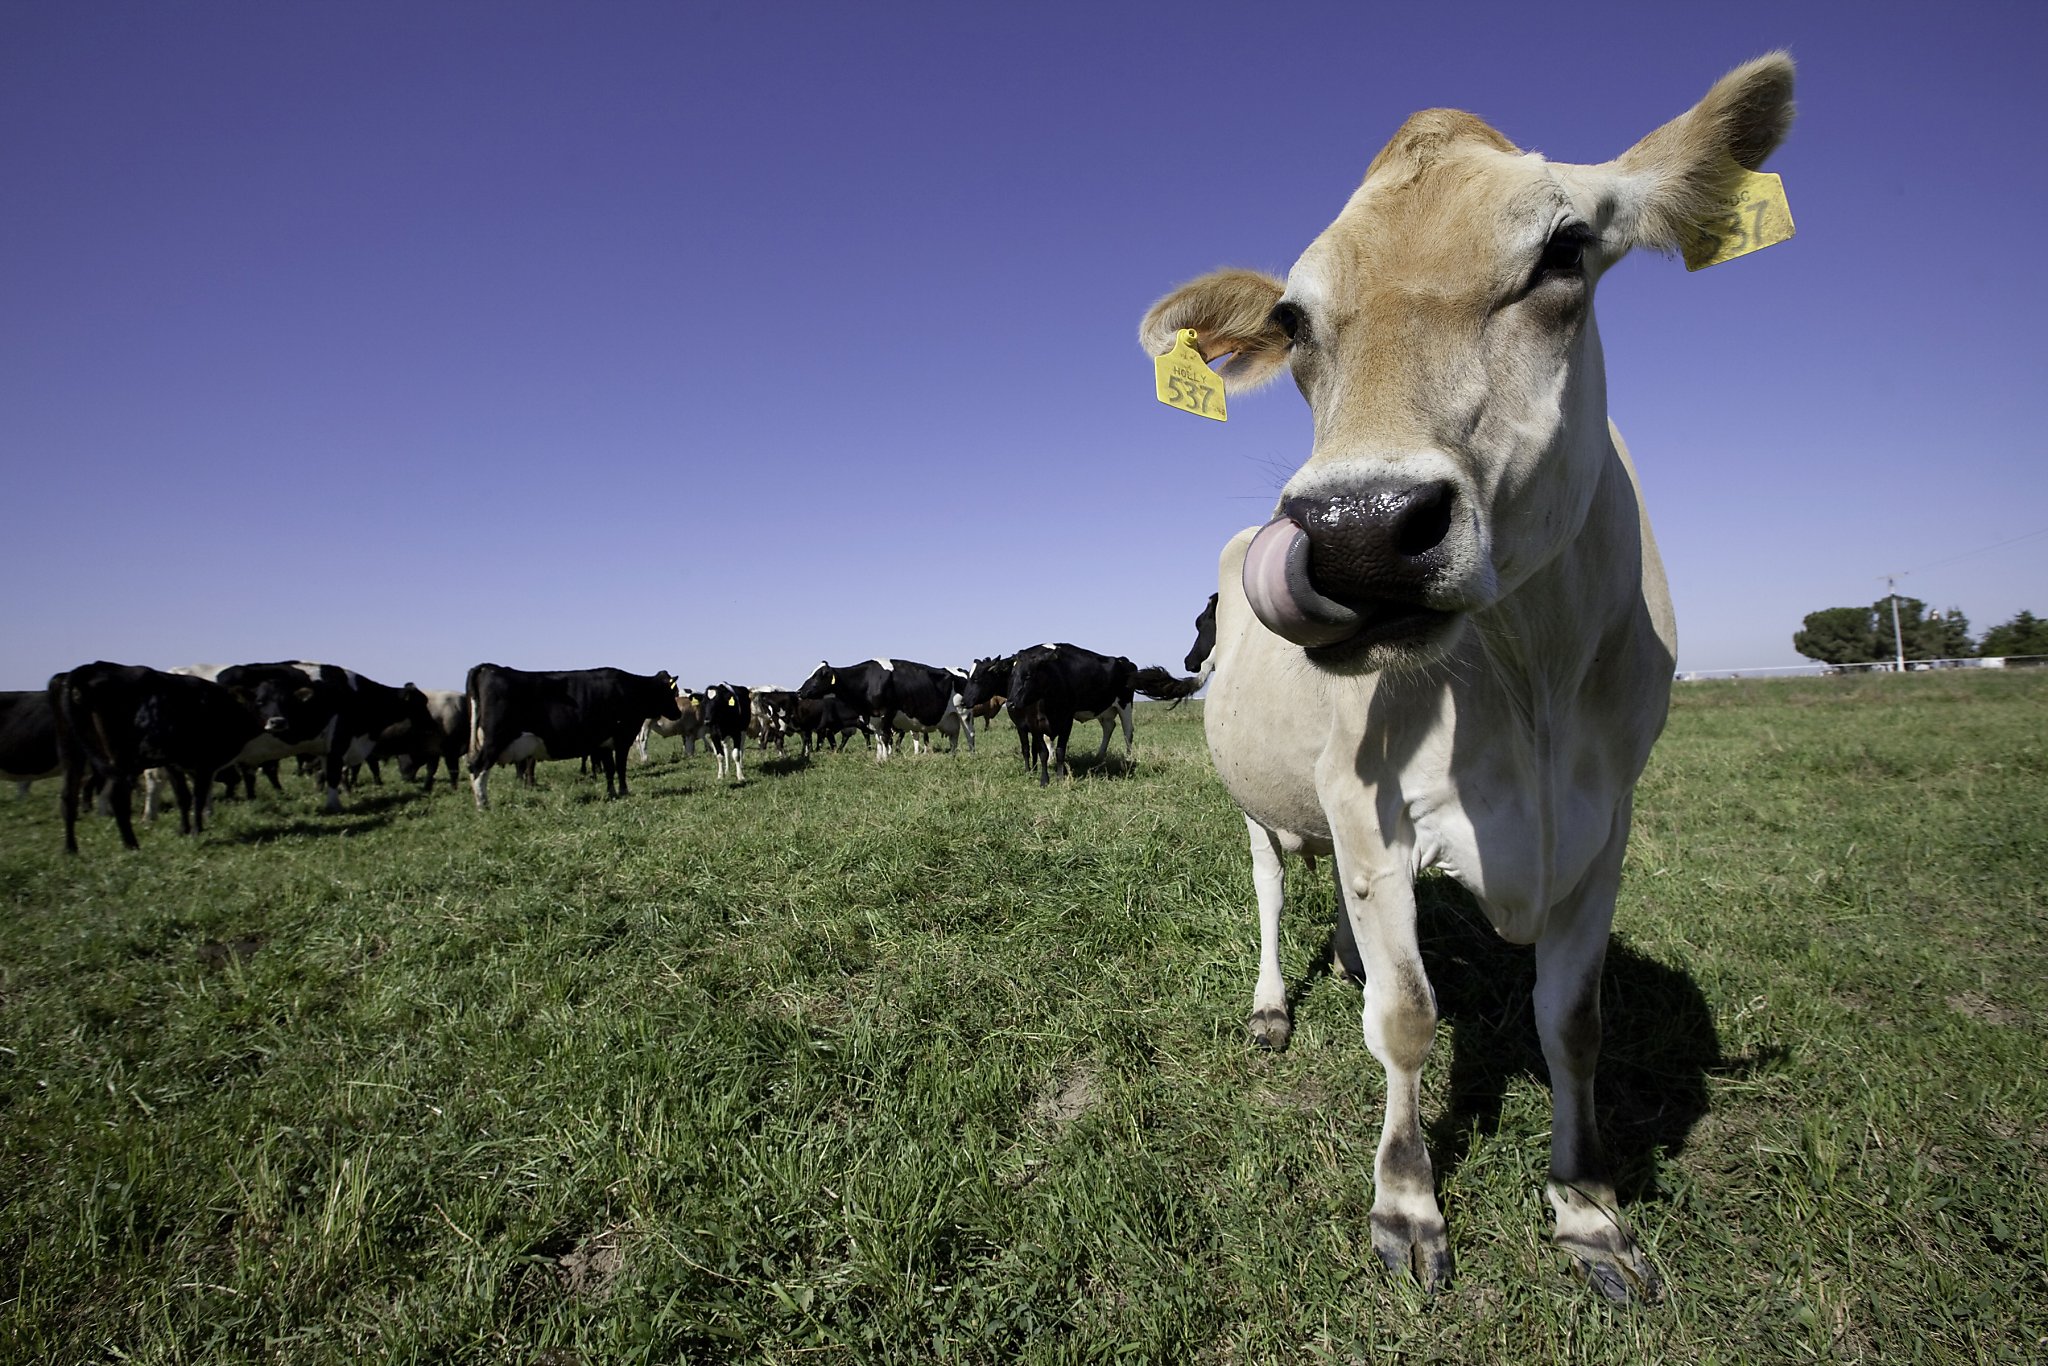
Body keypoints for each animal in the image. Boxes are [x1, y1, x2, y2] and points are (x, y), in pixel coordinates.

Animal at [50, 662, 265, 852]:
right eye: (261, 701)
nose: (273, 722)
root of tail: (89, 668)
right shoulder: (204, 763)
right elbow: (198, 796)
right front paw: (197, 830)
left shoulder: (173, 762)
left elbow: (183, 796)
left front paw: (184, 830)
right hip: (121, 758)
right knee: (118, 797)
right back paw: (132, 843)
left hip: (70, 750)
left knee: (68, 796)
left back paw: (70, 848)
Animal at [466, 664, 682, 809]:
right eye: (671, 693)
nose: (678, 713)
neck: (633, 690)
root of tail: (488, 667)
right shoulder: (622, 739)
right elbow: (620, 767)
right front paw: (624, 791)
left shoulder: (604, 743)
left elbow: (610, 769)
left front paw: (612, 792)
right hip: (494, 740)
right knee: (478, 769)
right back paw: (483, 805)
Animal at [796, 659, 969, 761]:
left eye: (818, 676)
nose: (799, 692)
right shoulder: (874, 718)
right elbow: (878, 739)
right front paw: (879, 758)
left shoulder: (887, 715)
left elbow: (885, 738)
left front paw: (885, 759)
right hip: (951, 719)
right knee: (954, 737)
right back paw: (952, 755)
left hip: (964, 713)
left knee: (969, 734)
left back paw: (971, 754)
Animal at [1135, 55, 1795, 1299]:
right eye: (1291, 319)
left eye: (1562, 251)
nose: (1355, 531)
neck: (1529, 669)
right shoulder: (1362, 799)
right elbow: (1404, 1016)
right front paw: (1404, 1203)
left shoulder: (1605, 816)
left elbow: (1571, 1021)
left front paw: (1587, 1209)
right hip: (1256, 800)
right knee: (1269, 887)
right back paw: (1271, 1006)